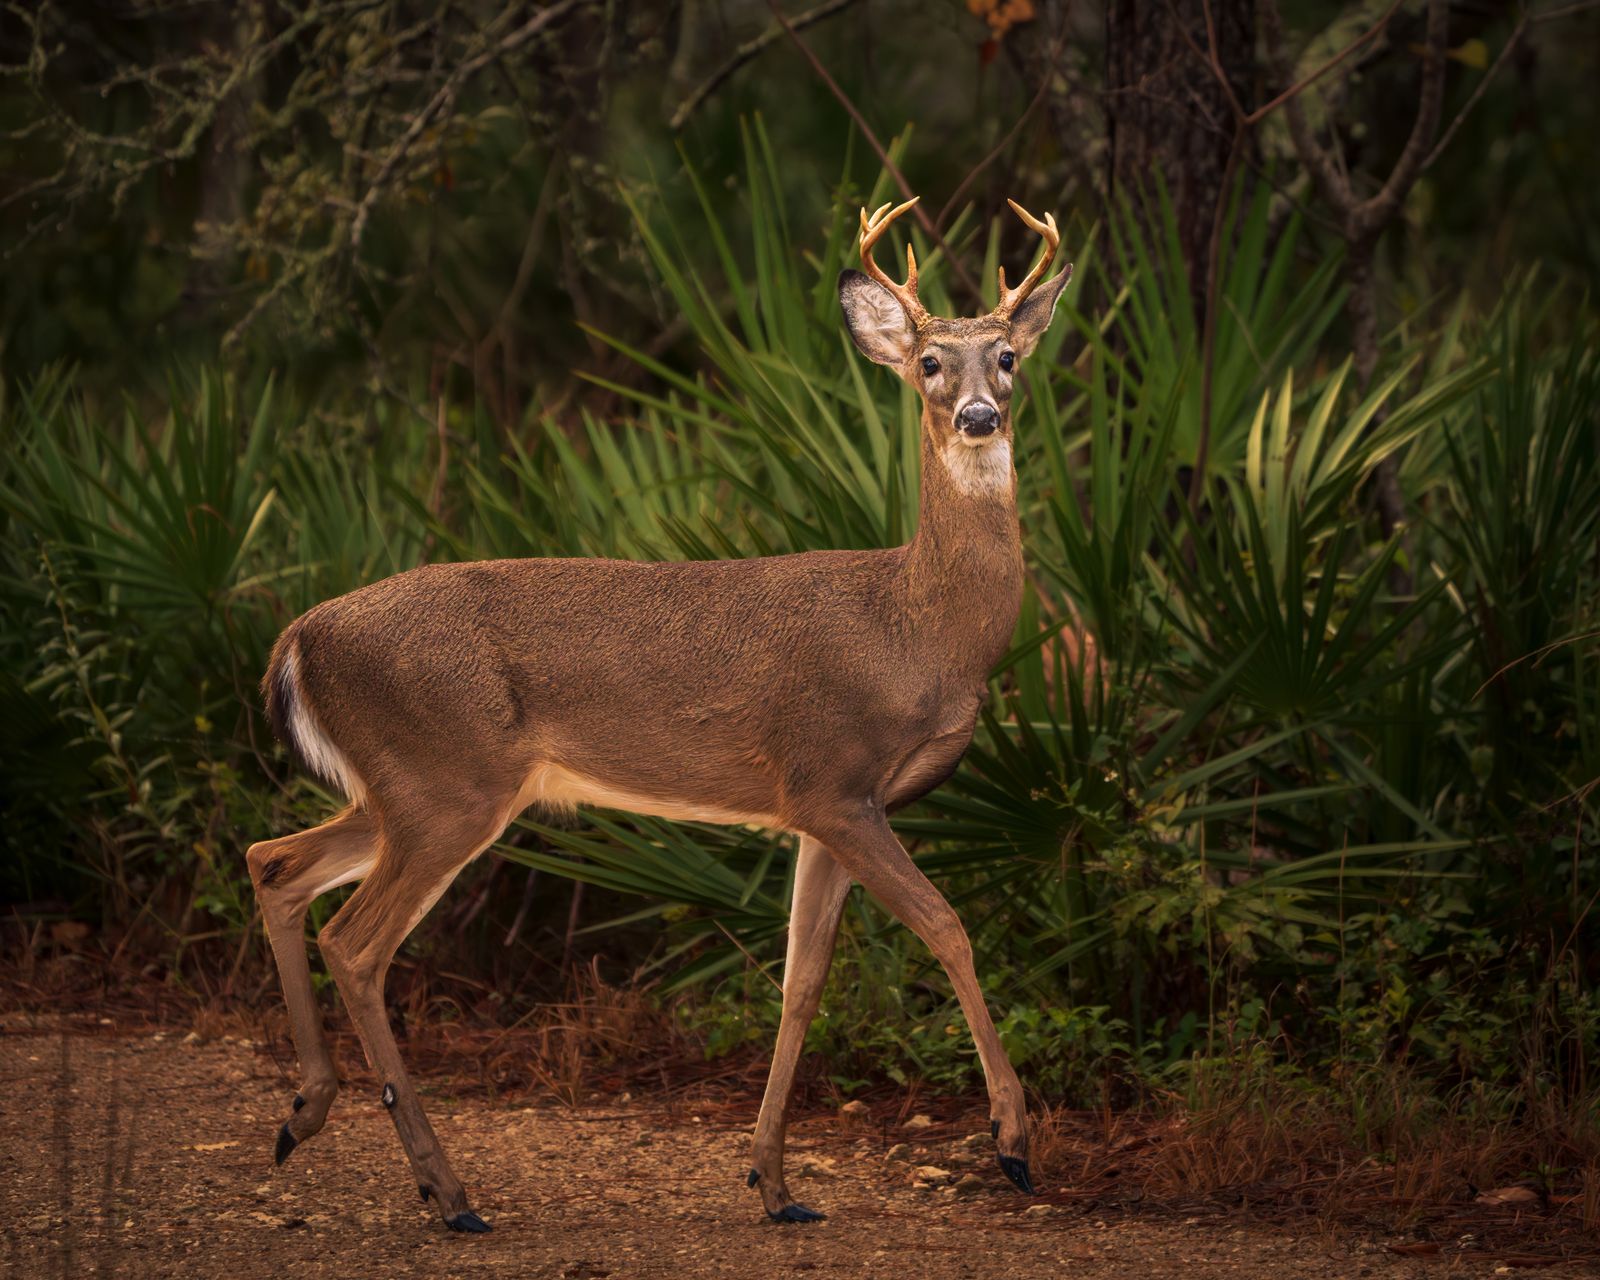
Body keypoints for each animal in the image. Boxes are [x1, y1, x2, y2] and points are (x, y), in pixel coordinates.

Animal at [246, 195, 1072, 1232]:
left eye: (1007, 356)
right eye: (929, 360)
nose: (977, 414)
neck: (918, 627)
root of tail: (297, 639)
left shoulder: (822, 810)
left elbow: (802, 980)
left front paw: (775, 1184)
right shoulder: (834, 778)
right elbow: (947, 926)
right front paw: (1013, 1143)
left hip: (407, 788)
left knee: (273, 862)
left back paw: (303, 1115)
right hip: (446, 780)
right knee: (355, 944)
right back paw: (449, 1193)